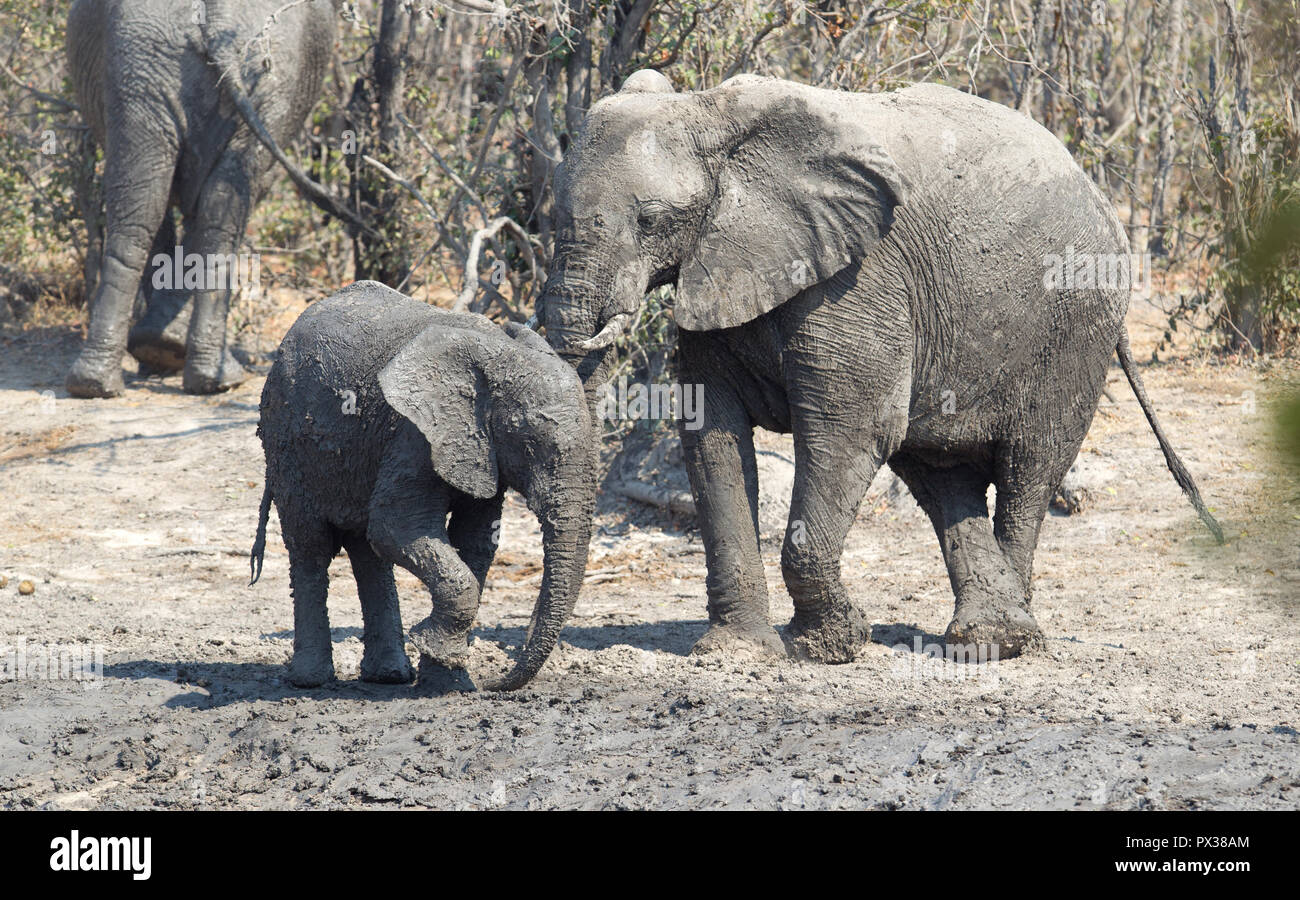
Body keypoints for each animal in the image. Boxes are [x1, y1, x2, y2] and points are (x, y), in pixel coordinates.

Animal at [65, 0, 347, 398]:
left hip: (143, 72)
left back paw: (98, 382)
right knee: (214, 210)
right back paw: (214, 377)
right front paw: (162, 349)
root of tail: (214, 14)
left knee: (143, 208)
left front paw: (160, 348)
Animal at [250, 281, 597, 691]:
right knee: (311, 545)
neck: (499, 352)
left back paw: (389, 675)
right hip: (286, 442)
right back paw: (311, 680)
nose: (494, 683)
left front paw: (447, 682)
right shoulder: (414, 433)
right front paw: (442, 657)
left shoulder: (480, 449)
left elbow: (476, 541)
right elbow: (398, 527)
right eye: (529, 441)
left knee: (366, 550)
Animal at [539, 71, 1223, 663]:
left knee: (1030, 468)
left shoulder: (857, 277)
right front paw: (736, 652)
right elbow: (712, 437)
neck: (711, 111)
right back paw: (985, 638)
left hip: (1075, 324)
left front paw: (828, 647)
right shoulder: (716, 271)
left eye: (652, 219)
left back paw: (1011, 641)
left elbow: (851, 429)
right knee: (942, 474)